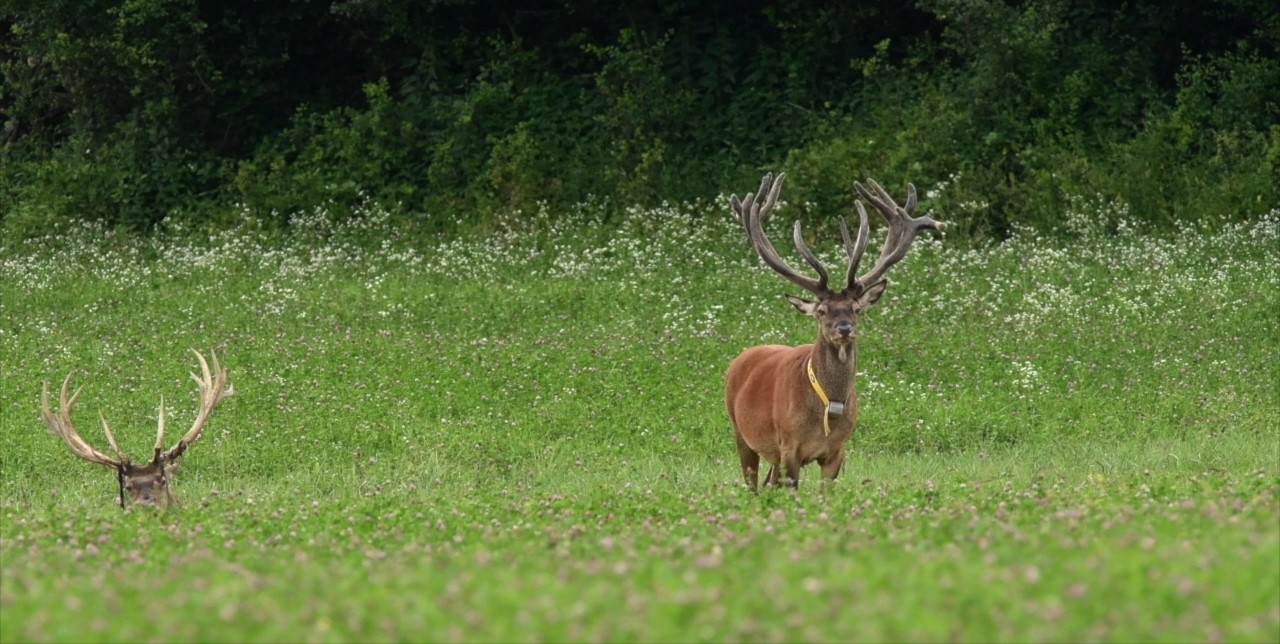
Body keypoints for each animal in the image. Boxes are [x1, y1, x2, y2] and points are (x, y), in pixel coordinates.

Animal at [725, 173, 944, 491]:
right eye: (822, 310)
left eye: (856, 308)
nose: (844, 328)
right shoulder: (789, 447)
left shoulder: (837, 451)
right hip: (741, 432)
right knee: (752, 484)